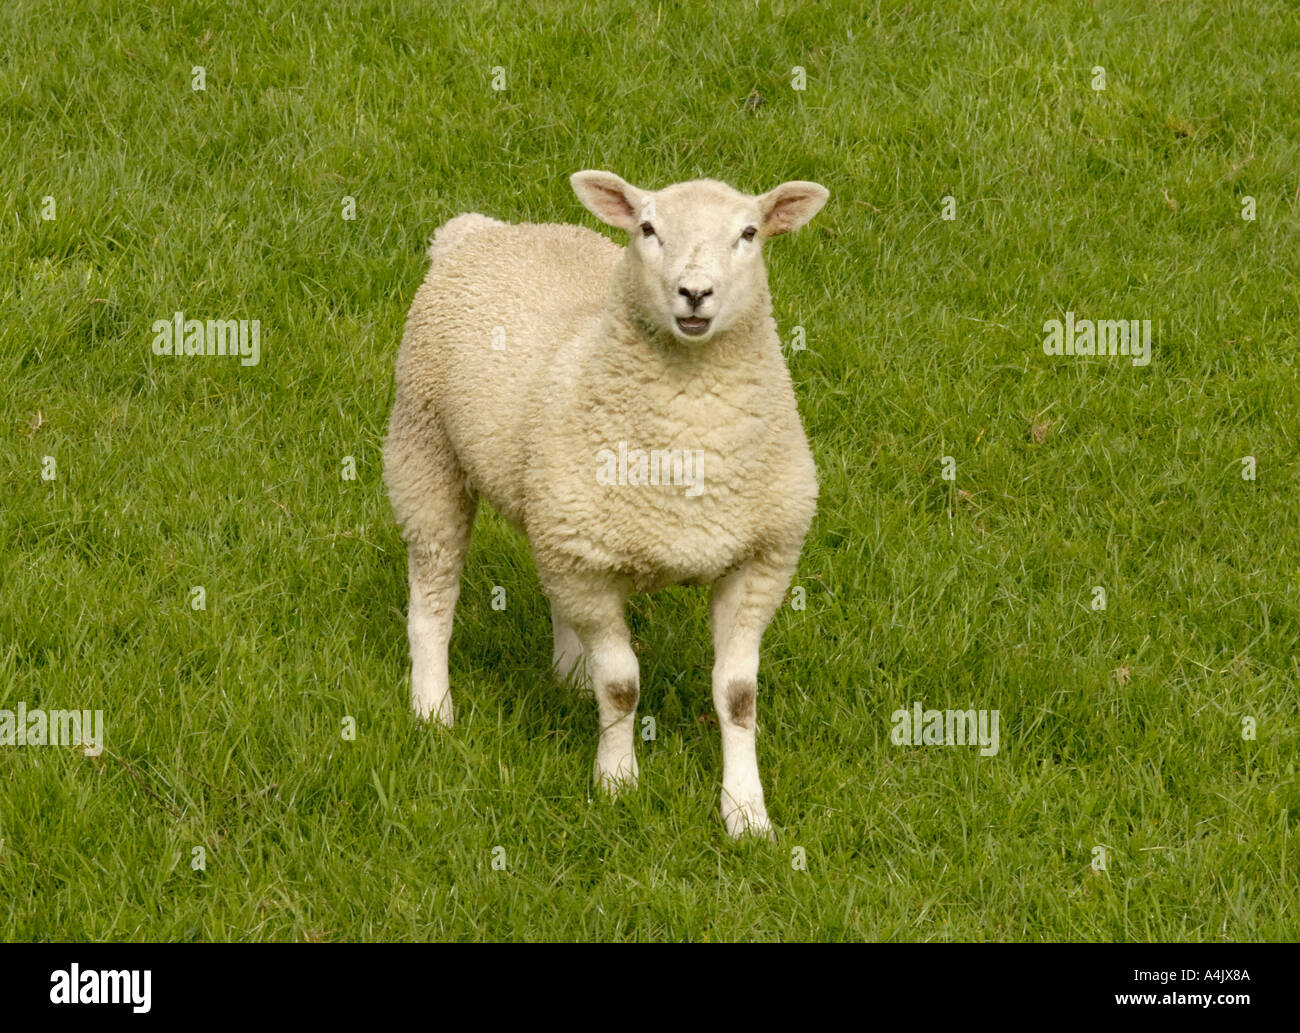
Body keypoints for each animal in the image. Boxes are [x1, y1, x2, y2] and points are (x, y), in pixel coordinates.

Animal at [383, 170, 827, 838]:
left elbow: (737, 696)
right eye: (647, 228)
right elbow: (621, 687)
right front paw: (618, 784)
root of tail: (482, 229)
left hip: (554, 509)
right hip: (425, 445)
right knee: (433, 593)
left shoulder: (760, 561)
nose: (694, 293)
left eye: (749, 233)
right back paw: (433, 709)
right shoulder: (592, 565)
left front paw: (747, 814)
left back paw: (569, 674)